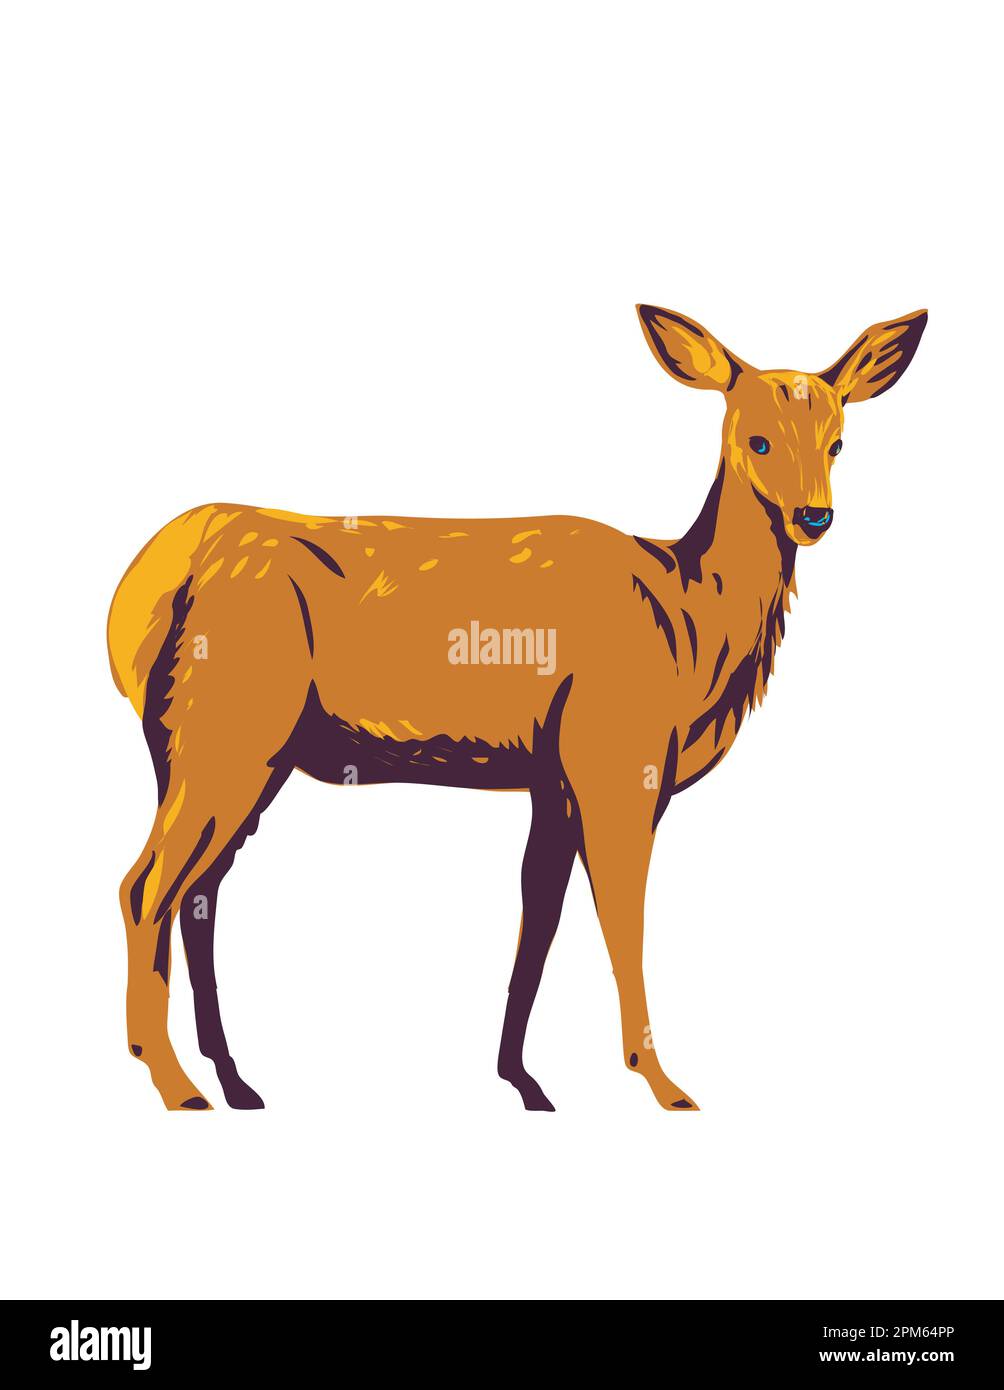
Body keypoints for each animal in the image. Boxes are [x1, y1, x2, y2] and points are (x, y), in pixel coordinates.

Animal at [108, 304, 927, 1112]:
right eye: (756, 437)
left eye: (838, 441)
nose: (814, 517)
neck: (692, 632)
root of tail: (141, 594)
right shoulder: (615, 757)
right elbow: (621, 915)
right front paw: (662, 1083)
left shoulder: (554, 779)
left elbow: (540, 915)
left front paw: (524, 1080)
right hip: (229, 727)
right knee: (147, 886)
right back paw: (176, 1083)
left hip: (227, 748)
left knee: (200, 891)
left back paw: (235, 1079)